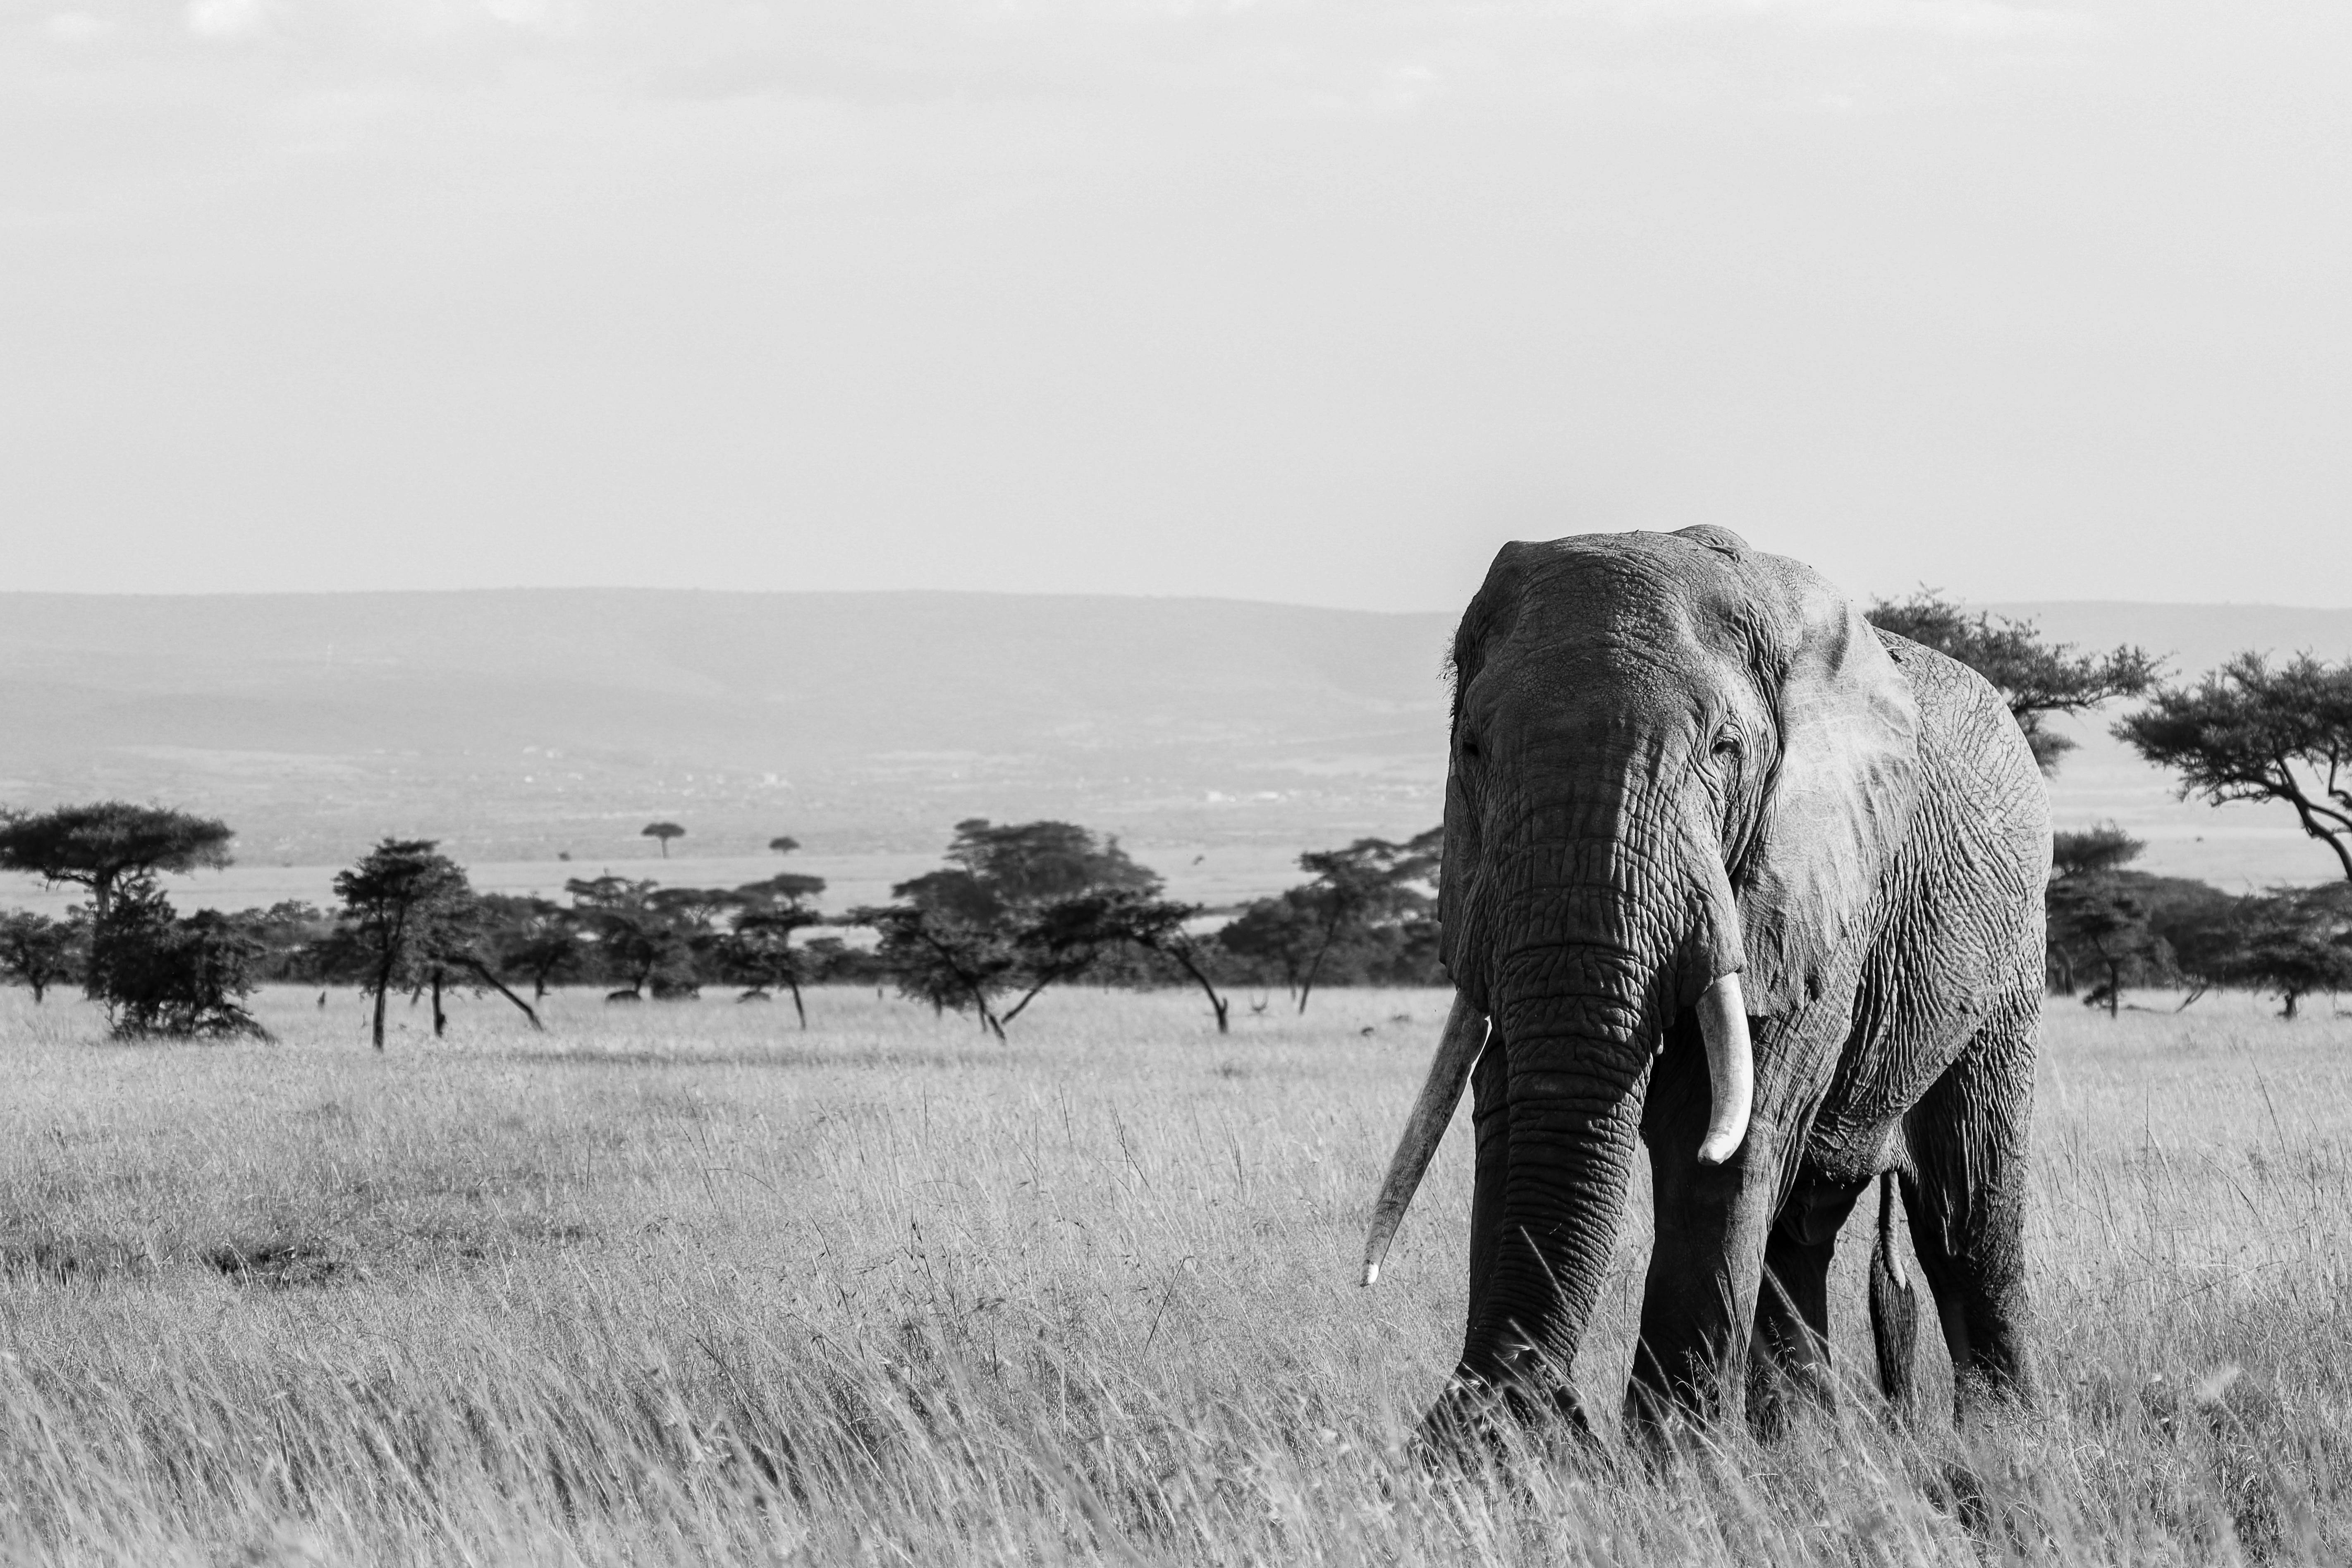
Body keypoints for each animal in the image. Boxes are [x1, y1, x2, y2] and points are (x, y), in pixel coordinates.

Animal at [1359, 526, 2048, 1444]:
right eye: (1471, 749)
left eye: (1724, 750)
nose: (1532, 1401)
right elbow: (1508, 1104)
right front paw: (1495, 1442)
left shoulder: (1810, 890)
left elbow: (1718, 1143)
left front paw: (1670, 1464)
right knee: (1804, 1226)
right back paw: (1799, 1444)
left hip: (2009, 953)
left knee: (1964, 1208)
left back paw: (2004, 1442)